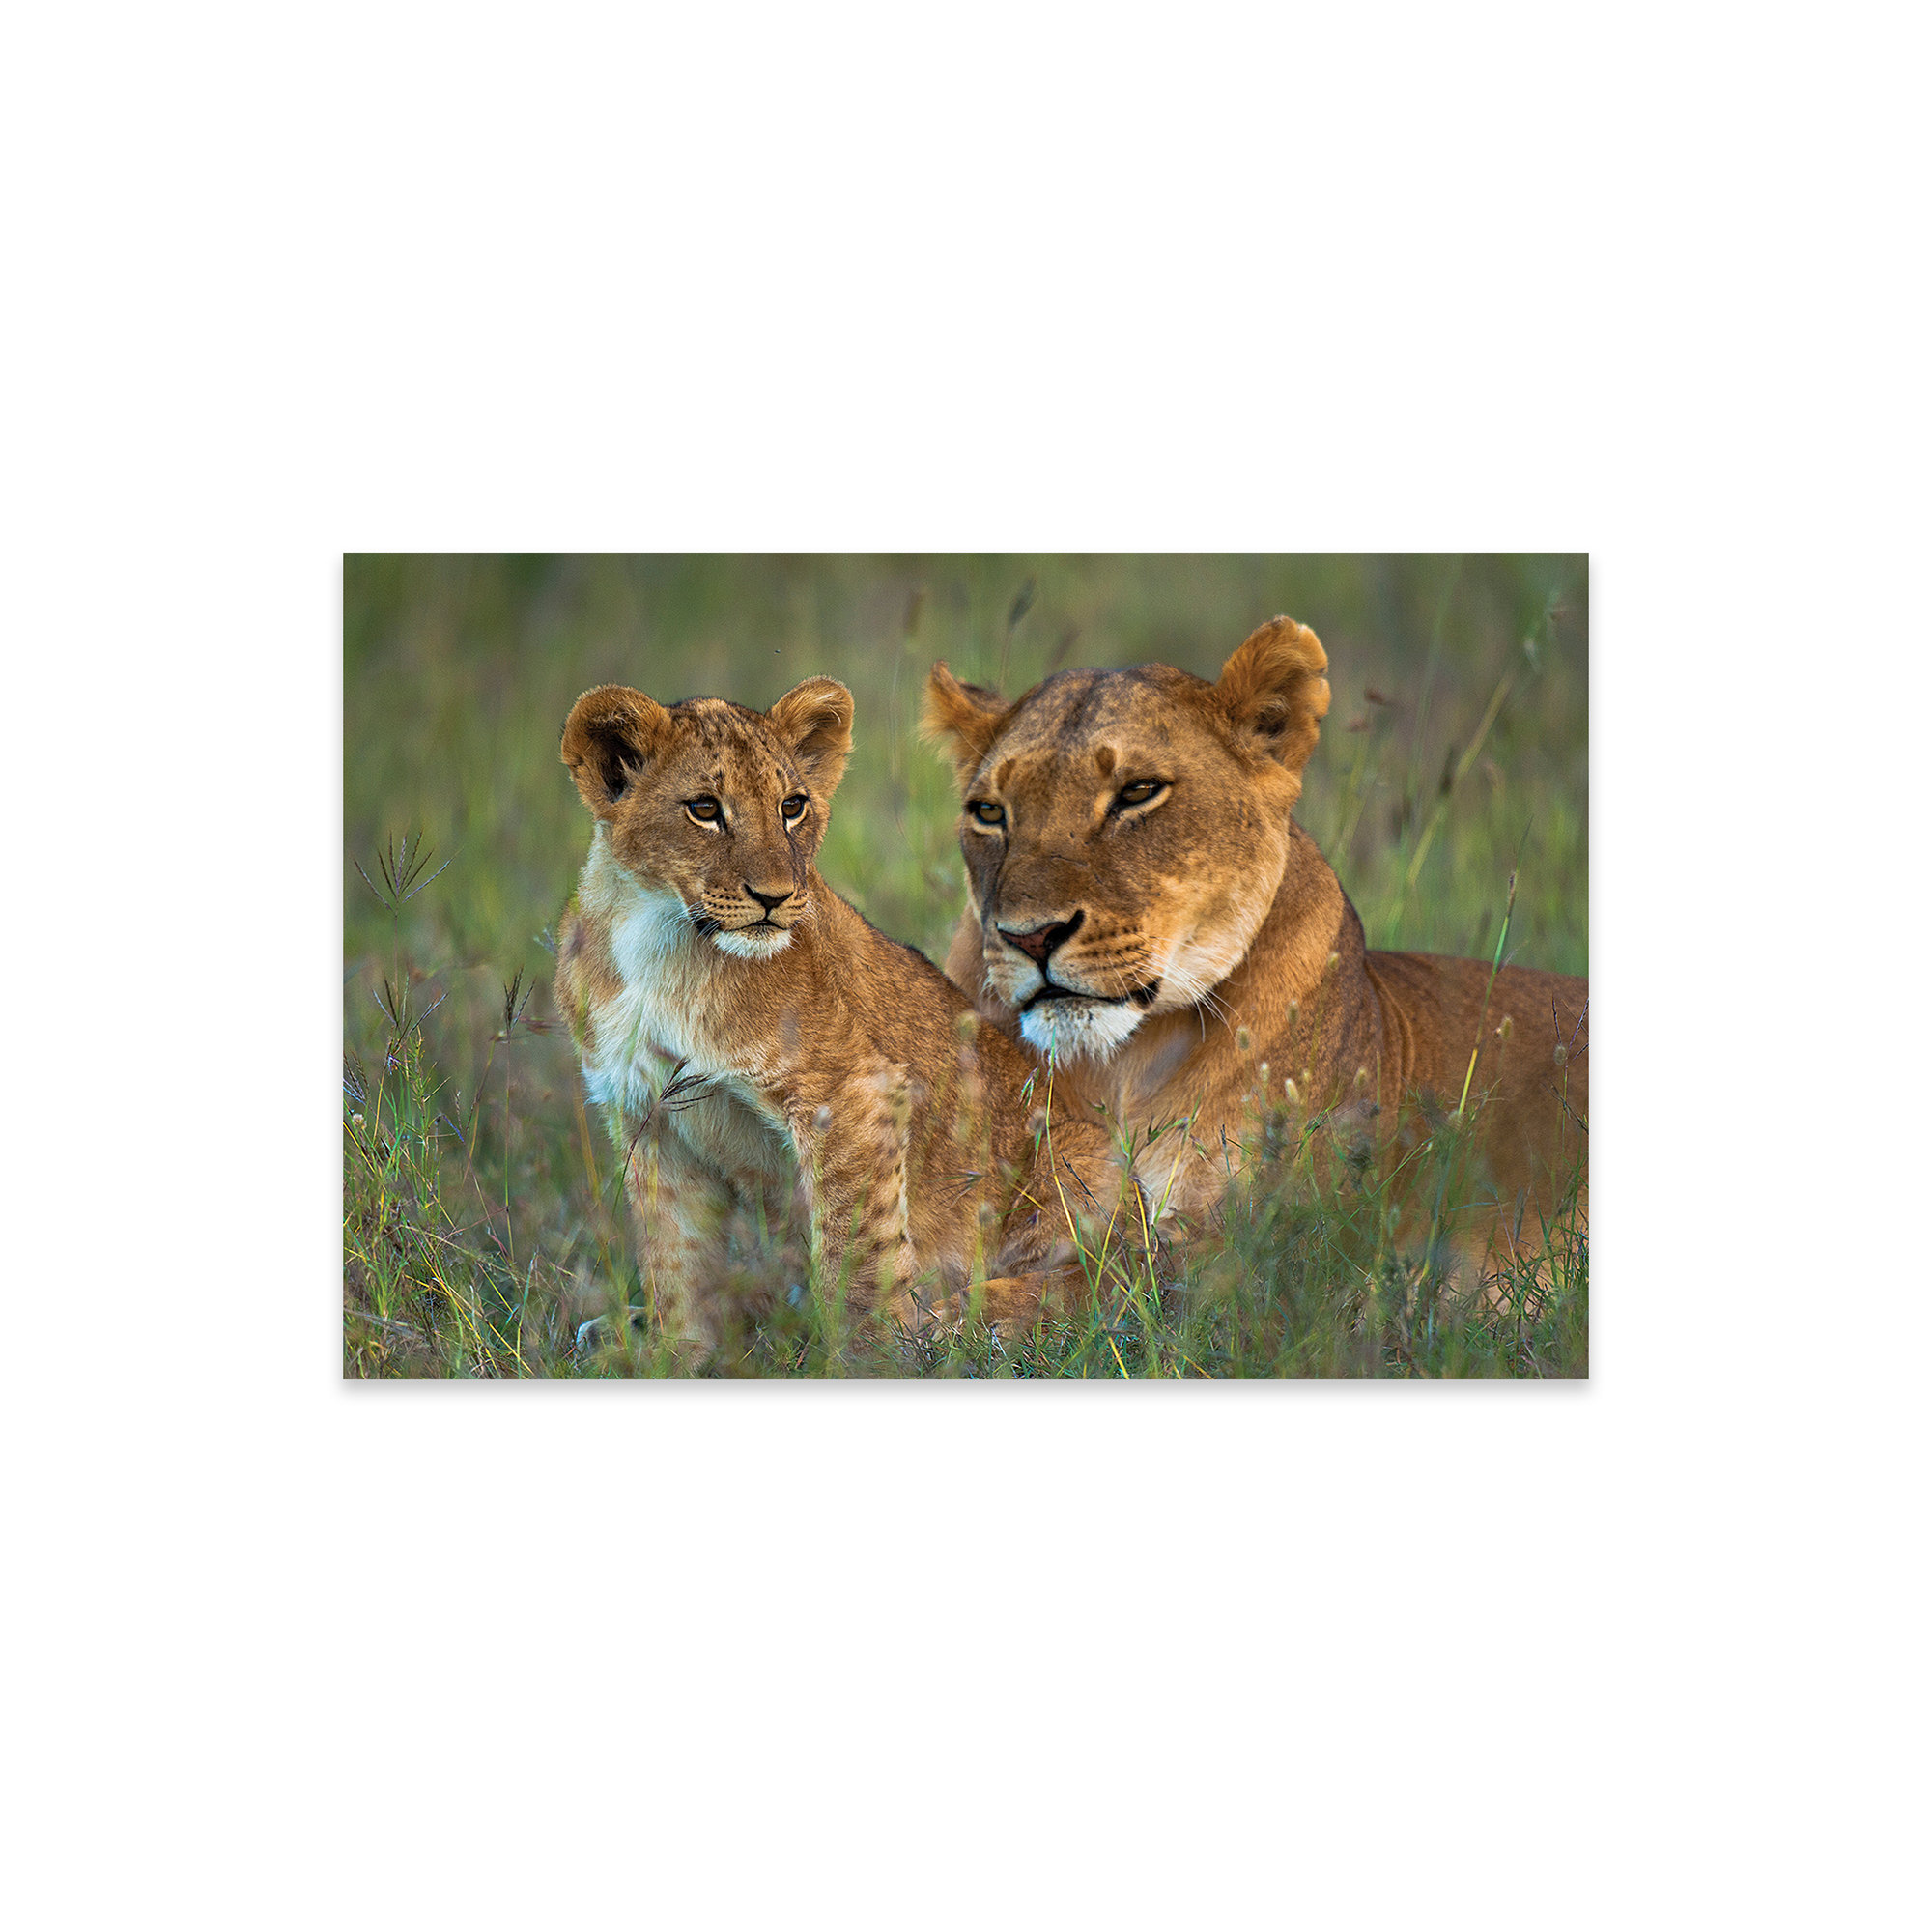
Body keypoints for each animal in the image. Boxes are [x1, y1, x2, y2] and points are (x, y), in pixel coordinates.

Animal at [553, 674, 1115, 1359]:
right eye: (705, 809)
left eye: (792, 806)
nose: (774, 897)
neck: (658, 935)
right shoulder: (649, 1118)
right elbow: (677, 1260)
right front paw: (676, 1354)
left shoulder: (851, 1093)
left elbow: (856, 1253)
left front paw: (871, 1358)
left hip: (1071, 1166)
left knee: (1092, 1287)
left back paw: (957, 1326)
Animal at [921, 616, 1588, 1298]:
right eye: (989, 811)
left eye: (1138, 792)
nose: (1030, 937)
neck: (1122, 1068)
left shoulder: (1276, 1259)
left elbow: (1063, 1293)